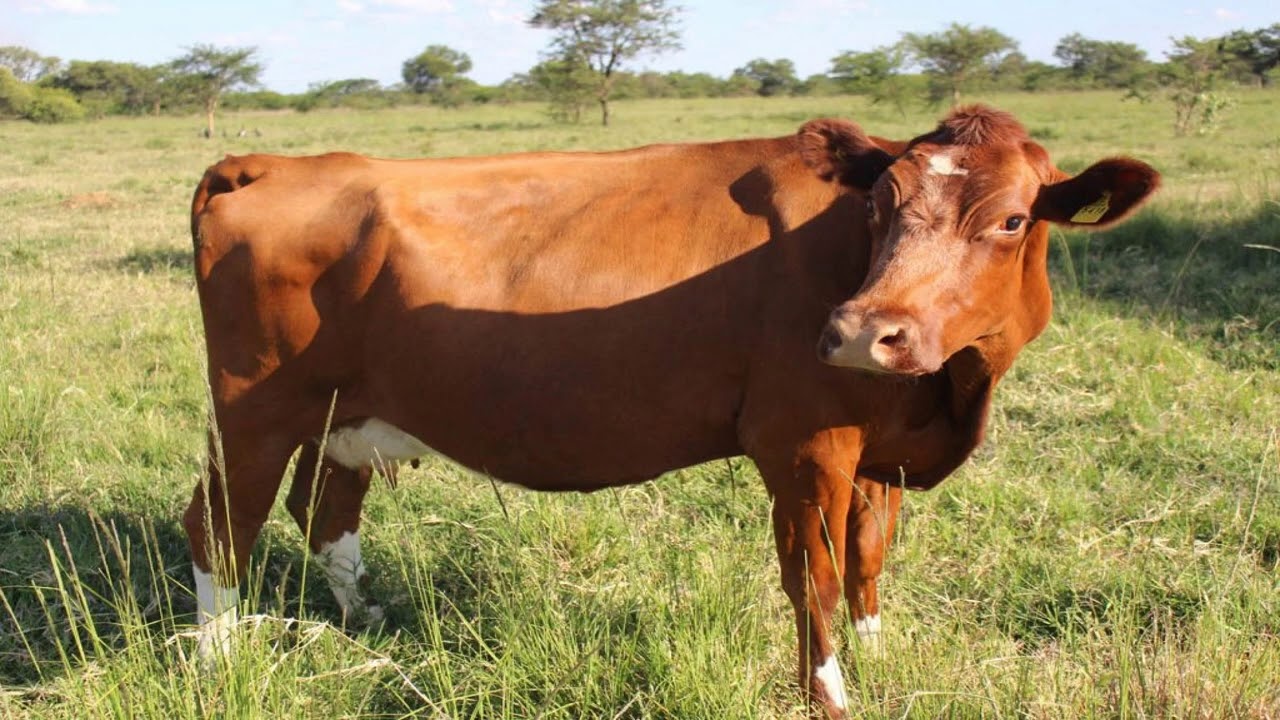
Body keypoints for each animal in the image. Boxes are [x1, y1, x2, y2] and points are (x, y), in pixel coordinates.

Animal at [185, 105, 1159, 718]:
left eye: (1011, 219)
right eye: (880, 204)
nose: (860, 333)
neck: (946, 397)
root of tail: (276, 163)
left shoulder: (877, 447)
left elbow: (868, 559)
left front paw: (882, 655)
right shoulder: (802, 443)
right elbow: (816, 578)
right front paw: (830, 695)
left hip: (343, 416)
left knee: (324, 514)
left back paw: (363, 620)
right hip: (254, 412)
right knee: (222, 524)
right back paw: (217, 658)